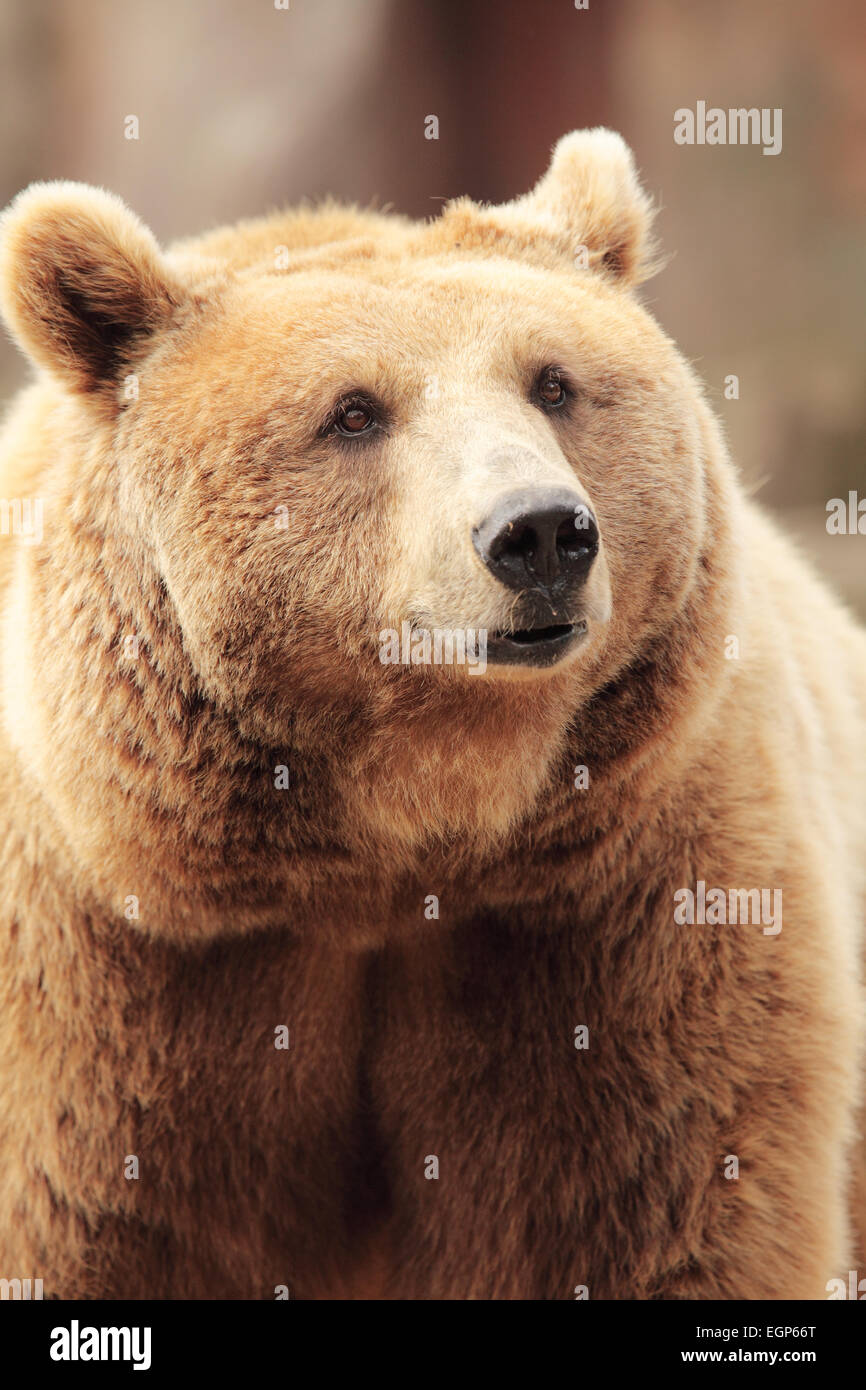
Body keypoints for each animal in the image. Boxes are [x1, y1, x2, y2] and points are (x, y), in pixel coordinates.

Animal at [0, 128, 863, 1301]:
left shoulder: (634, 918)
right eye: (354, 411)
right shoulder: (111, 973)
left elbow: (668, 1217)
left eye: (552, 382)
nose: (539, 533)